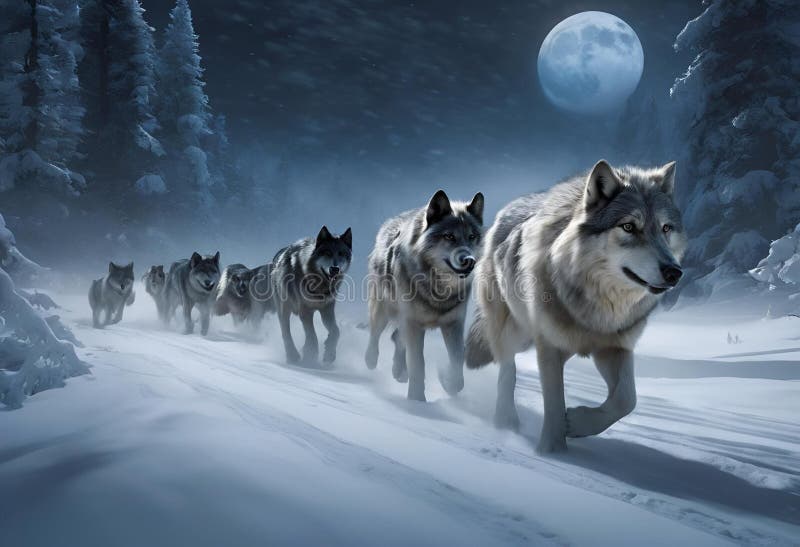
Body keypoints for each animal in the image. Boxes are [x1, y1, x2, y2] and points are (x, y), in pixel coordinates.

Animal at [272, 226, 352, 365]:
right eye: (327, 253)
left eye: (341, 254)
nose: (334, 268)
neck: (320, 287)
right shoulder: (305, 311)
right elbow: (312, 335)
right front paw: (311, 355)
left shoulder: (327, 310)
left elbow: (336, 331)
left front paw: (329, 354)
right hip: (284, 309)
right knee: (285, 332)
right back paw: (292, 356)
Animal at [365, 190, 484, 402]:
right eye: (449, 236)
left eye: (472, 237)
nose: (469, 260)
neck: (439, 291)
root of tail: (390, 222)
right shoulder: (413, 323)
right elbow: (418, 365)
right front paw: (417, 400)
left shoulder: (453, 324)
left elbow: (458, 364)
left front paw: (448, 383)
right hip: (384, 311)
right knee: (375, 334)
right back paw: (371, 361)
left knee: (397, 338)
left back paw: (399, 372)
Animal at [465, 160, 686, 452]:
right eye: (628, 227)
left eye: (665, 228)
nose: (674, 272)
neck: (596, 307)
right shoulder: (549, 347)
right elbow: (554, 403)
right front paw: (552, 451)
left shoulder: (613, 347)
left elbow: (626, 400)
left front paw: (578, 424)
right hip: (516, 332)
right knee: (506, 367)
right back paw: (504, 420)